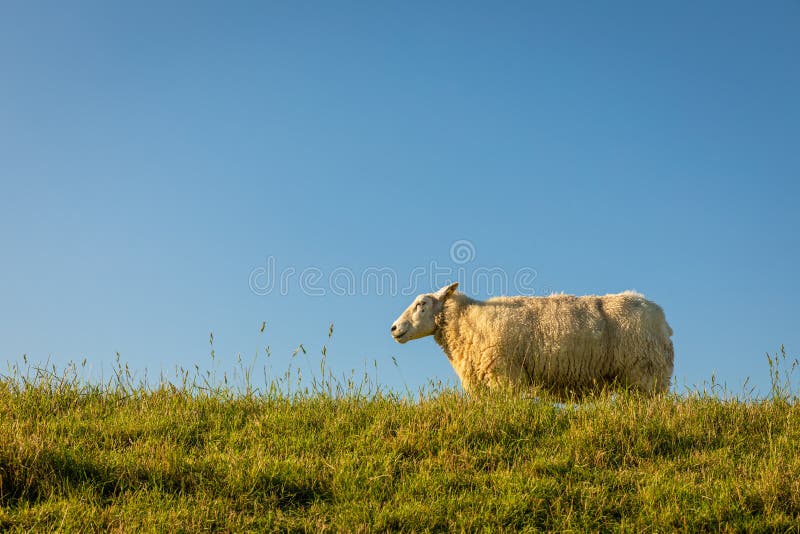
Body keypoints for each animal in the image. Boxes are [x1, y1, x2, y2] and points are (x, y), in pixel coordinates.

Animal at [390, 283, 674, 395]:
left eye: (422, 304)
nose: (394, 328)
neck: (467, 320)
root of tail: (662, 318)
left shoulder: (505, 374)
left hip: (645, 374)